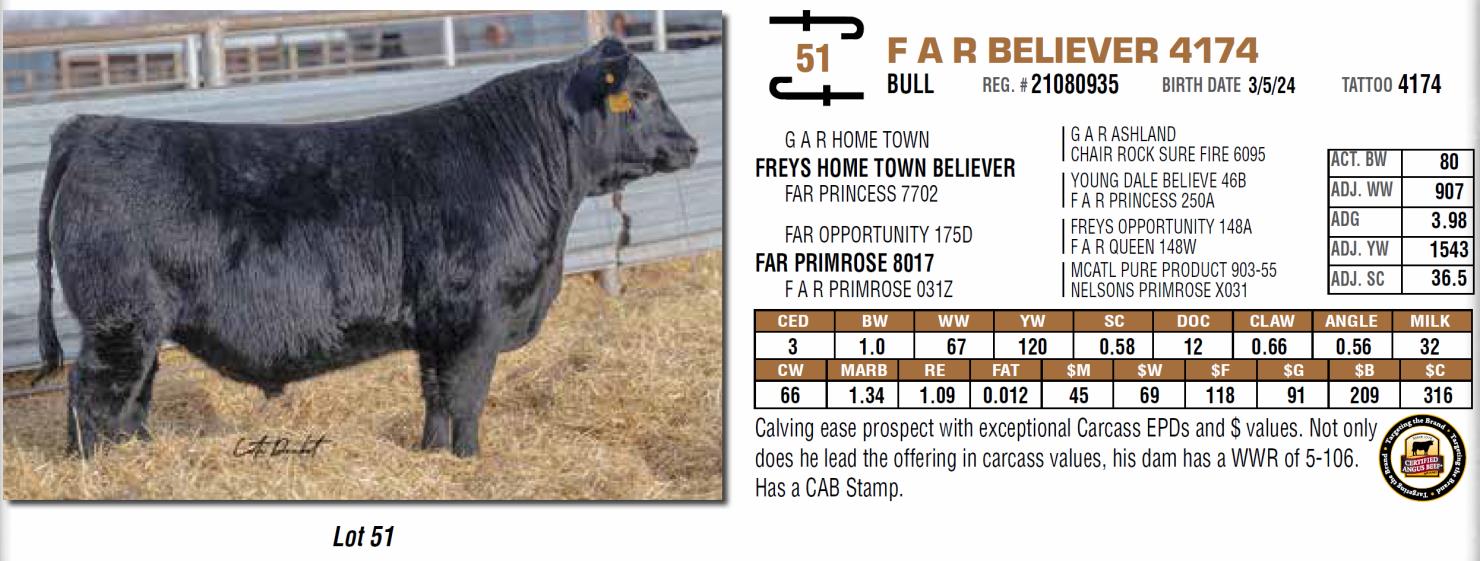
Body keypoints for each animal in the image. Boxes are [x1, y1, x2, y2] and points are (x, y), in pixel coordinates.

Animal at [35, 38, 698, 458]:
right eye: (641, 93)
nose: (690, 145)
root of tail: (92, 125)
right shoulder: (477, 319)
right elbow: (466, 399)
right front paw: (470, 462)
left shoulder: (439, 327)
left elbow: (436, 399)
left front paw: (432, 456)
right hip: (119, 321)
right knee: (93, 395)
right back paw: (102, 470)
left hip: (139, 327)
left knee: (132, 397)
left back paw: (138, 456)